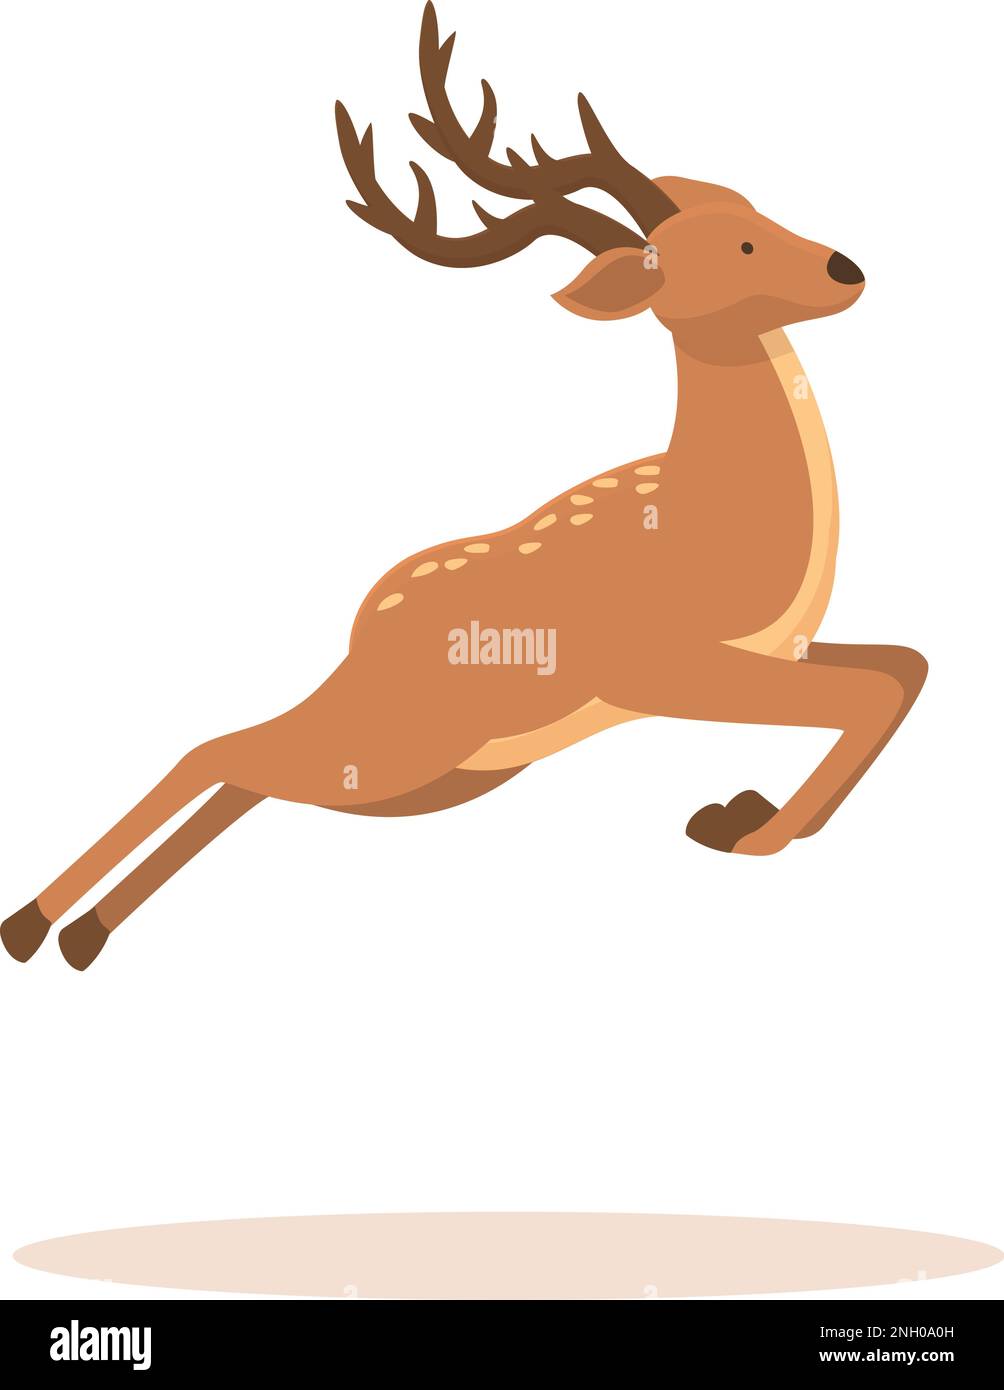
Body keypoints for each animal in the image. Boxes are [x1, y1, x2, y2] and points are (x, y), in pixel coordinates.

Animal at [2, 3, 926, 973]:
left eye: (749, 206)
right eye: (738, 244)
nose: (845, 268)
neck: (710, 516)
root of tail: (360, 639)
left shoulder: (781, 649)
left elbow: (905, 667)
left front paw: (751, 815)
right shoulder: (662, 667)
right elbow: (868, 693)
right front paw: (746, 831)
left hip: (426, 773)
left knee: (244, 775)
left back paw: (81, 933)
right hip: (400, 745)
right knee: (214, 748)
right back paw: (36, 924)